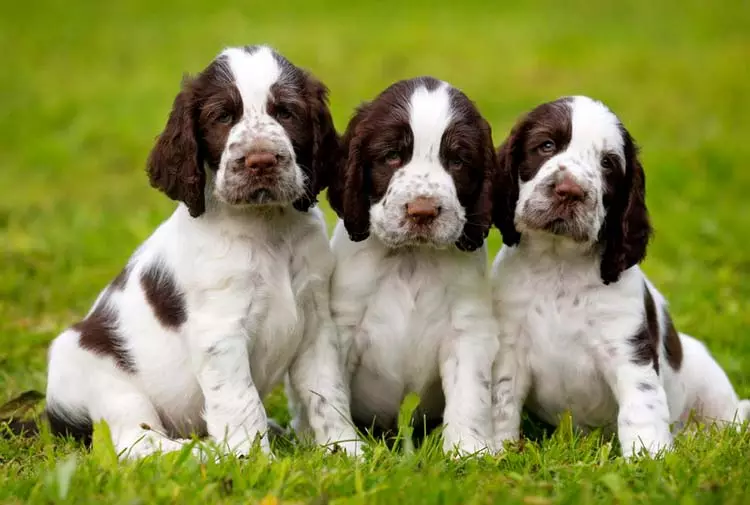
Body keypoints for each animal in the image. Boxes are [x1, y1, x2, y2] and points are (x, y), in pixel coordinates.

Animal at [38, 45, 364, 458]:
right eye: (222, 116)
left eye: (286, 112)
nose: (260, 161)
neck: (266, 228)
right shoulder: (220, 331)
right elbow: (241, 401)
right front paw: (251, 459)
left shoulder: (315, 322)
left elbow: (326, 391)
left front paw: (347, 450)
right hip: (107, 386)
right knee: (137, 442)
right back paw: (204, 451)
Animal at [328, 77, 506, 454]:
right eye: (392, 155)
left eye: (457, 161)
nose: (422, 211)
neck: (411, 257)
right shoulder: (342, 327)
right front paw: (344, 446)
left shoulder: (467, 331)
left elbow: (469, 396)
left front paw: (467, 450)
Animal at [490, 94, 748, 456]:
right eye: (546, 145)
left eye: (608, 164)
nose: (569, 191)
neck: (559, 265)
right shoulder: (510, 346)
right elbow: (502, 402)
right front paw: (496, 452)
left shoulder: (628, 351)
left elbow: (641, 407)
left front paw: (648, 458)